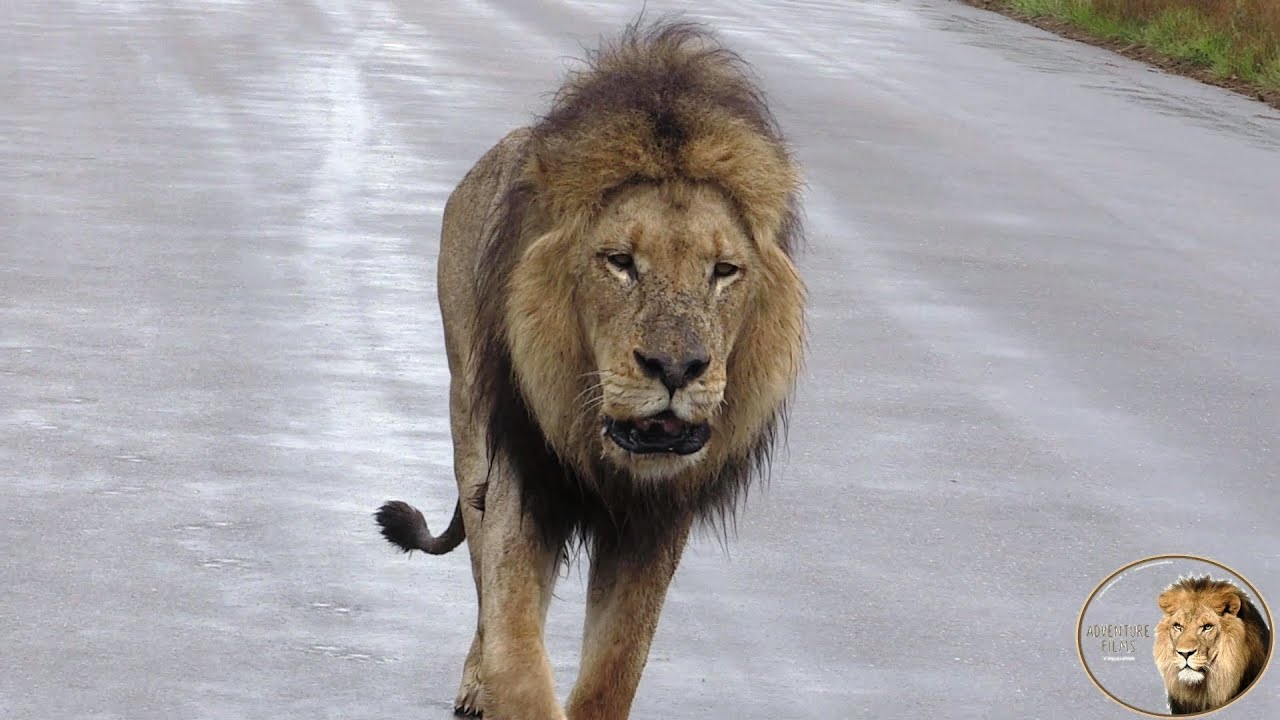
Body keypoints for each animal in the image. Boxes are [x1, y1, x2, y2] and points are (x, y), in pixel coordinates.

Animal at [374, 19, 805, 720]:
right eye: (620, 262)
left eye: (724, 271)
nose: (675, 368)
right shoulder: (523, 483)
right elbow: (516, 653)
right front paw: (499, 681)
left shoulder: (655, 523)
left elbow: (614, 670)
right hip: (470, 431)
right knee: (484, 593)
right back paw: (473, 683)